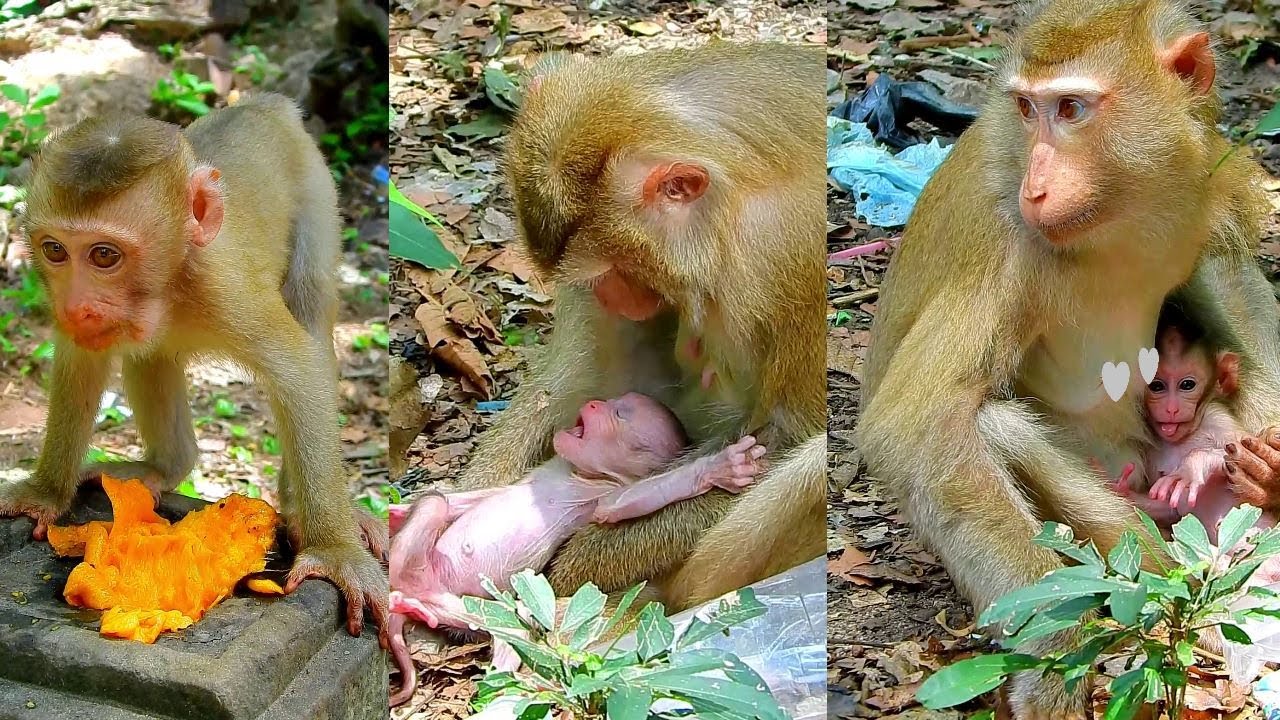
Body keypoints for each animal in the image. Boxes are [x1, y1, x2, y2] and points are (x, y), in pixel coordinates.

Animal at [0, 93, 389, 643]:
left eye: (104, 255)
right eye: (55, 250)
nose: (76, 306)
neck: (170, 280)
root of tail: (265, 104)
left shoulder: (225, 287)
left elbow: (298, 368)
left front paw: (334, 552)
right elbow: (83, 358)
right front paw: (44, 492)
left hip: (316, 189)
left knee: (311, 312)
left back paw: (300, 511)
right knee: (149, 353)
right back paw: (164, 467)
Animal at [387, 393, 767, 706]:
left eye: (620, 414)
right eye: (615, 402)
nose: (596, 403)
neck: (578, 470)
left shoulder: (606, 493)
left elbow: (620, 506)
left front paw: (717, 469)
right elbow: (470, 497)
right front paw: (397, 510)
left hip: (463, 602)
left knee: (513, 620)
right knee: (434, 504)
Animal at [442, 41, 828, 611]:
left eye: (617, 271)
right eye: (602, 278)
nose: (614, 299)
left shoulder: (792, 256)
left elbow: (785, 435)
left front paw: (581, 561)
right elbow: (593, 379)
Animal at [856, 1, 1280, 717]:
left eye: (1072, 109)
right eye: (1028, 109)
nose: (1036, 184)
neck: (1126, 207)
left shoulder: (1207, 175)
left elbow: (1225, 273)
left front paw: (1273, 466)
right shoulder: (1005, 241)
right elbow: (916, 426)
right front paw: (1055, 652)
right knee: (995, 424)